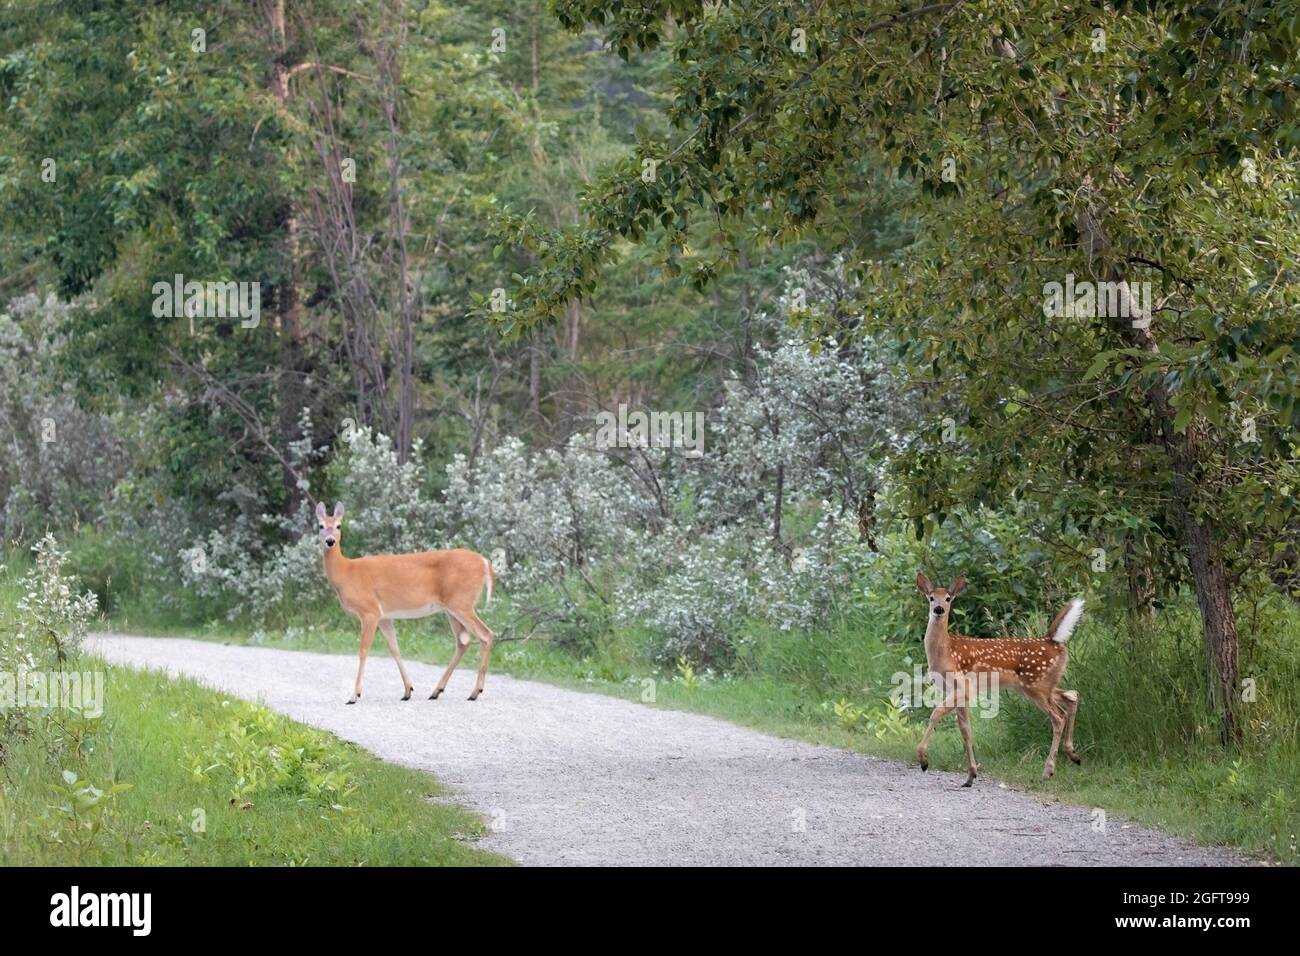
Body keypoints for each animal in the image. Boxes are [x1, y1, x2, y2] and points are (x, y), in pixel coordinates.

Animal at [316, 502, 497, 704]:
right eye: (321, 526)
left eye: (339, 526)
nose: (330, 541)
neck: (346, 573)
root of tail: (485, 563)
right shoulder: (384, 617)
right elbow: (395, 649)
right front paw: (408, 690)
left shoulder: (369, 611)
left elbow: (363, 650)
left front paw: (354, 695)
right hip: (452, 608)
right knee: (463, 642)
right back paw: (436, 691)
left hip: (461, 602)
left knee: (487, 635)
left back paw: (475, 692)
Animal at [914, 573, 1084, 786]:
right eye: (931, 598)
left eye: (948, 598)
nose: (939, 609)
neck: (945, 652)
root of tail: (1053, 640)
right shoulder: (958, 693)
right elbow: (966, 730)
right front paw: (970, 775)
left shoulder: (963, 687)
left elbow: (936, 713)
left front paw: (923, 760)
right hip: (1042, 686)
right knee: (1072, 696)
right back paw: (1073, 755)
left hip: (1036, 685)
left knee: (1058, 717)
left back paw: (1048, 771)